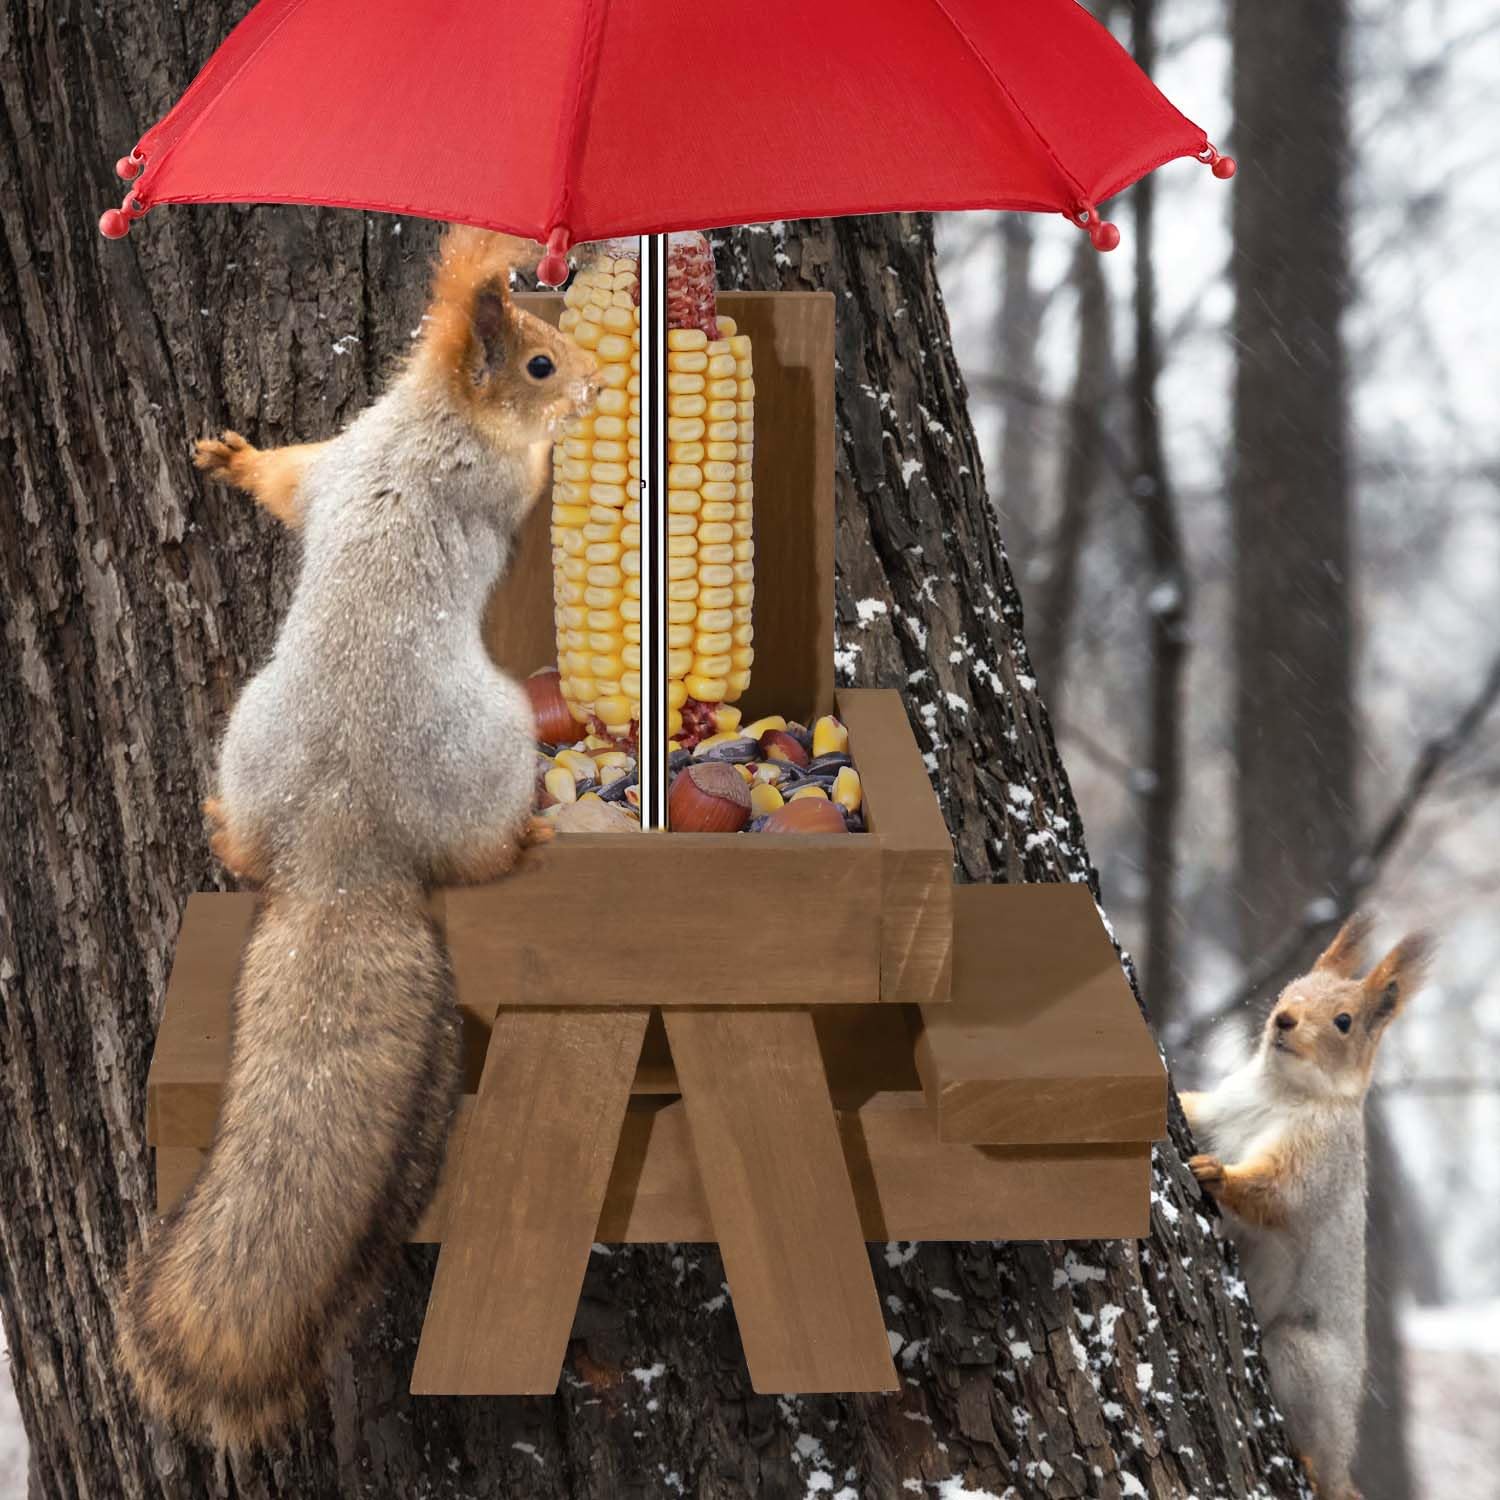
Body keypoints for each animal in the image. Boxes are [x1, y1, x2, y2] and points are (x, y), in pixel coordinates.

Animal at [118, 222, 597, 1440]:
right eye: (537, 363)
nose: (592, 388)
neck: (432, 415)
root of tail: (342, 844)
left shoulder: (337, 457)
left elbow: (289, 479)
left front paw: (233, 459)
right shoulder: (486, 478)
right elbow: (524, 485)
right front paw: (567, 447)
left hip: (248, 733)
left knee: (245, 842)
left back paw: (225, 827)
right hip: (495, 745)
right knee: (476, 857)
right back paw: (522, 844)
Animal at [1182, 912, 1428, 1500]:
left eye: (1343, 1021)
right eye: (1290, 988)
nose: (1284, 1019)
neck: (1278, 1091)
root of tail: (1342, 1465)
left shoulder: (1319, 1158)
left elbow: (1277, 1192)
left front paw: (1218, 1175)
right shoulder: (1222, 1109)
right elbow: (1195, 1110)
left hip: (1299, 1358)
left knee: (1312, 1441)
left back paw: (1313, 1463)